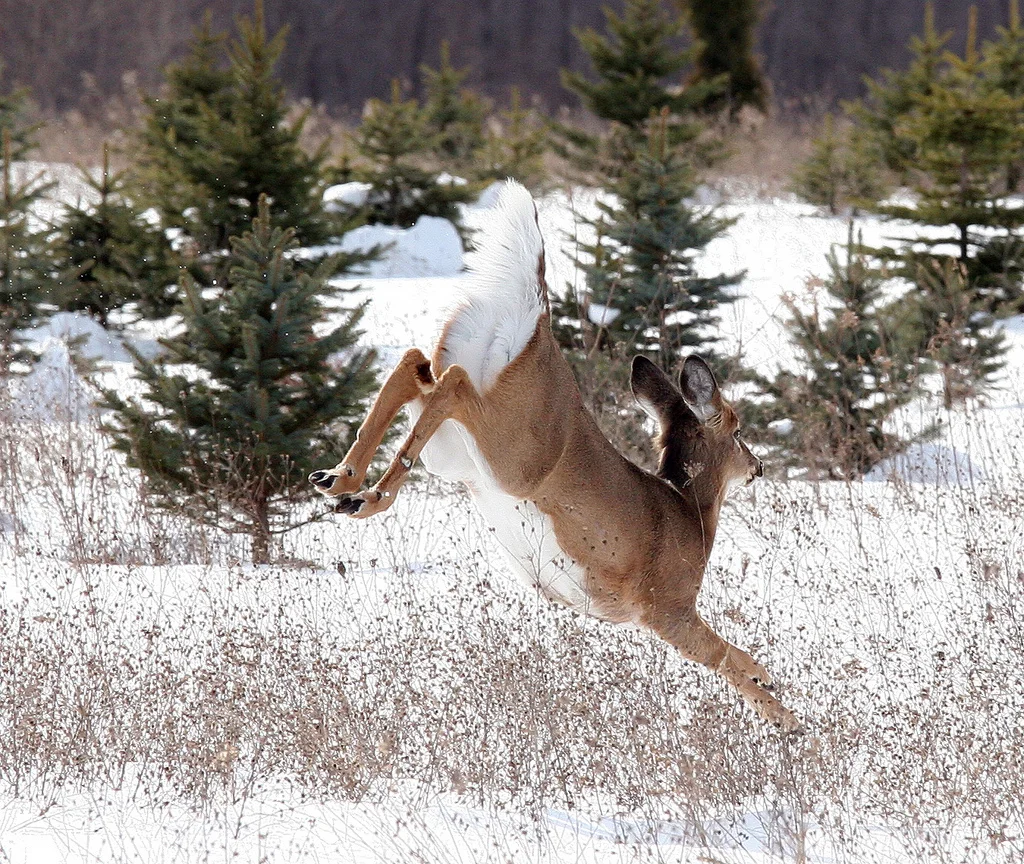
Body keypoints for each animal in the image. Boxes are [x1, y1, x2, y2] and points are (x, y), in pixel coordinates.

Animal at [309, 181, 802, 734]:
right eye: (737, 429)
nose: (758, 466)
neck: (689, 512)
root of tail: (539, 324)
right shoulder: (665, 607)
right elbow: (726, 657)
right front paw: (784, 713)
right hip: (513, 451)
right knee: (452, 384)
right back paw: (367, 497)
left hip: (457, 451)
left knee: (415, 365)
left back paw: (339, 480)